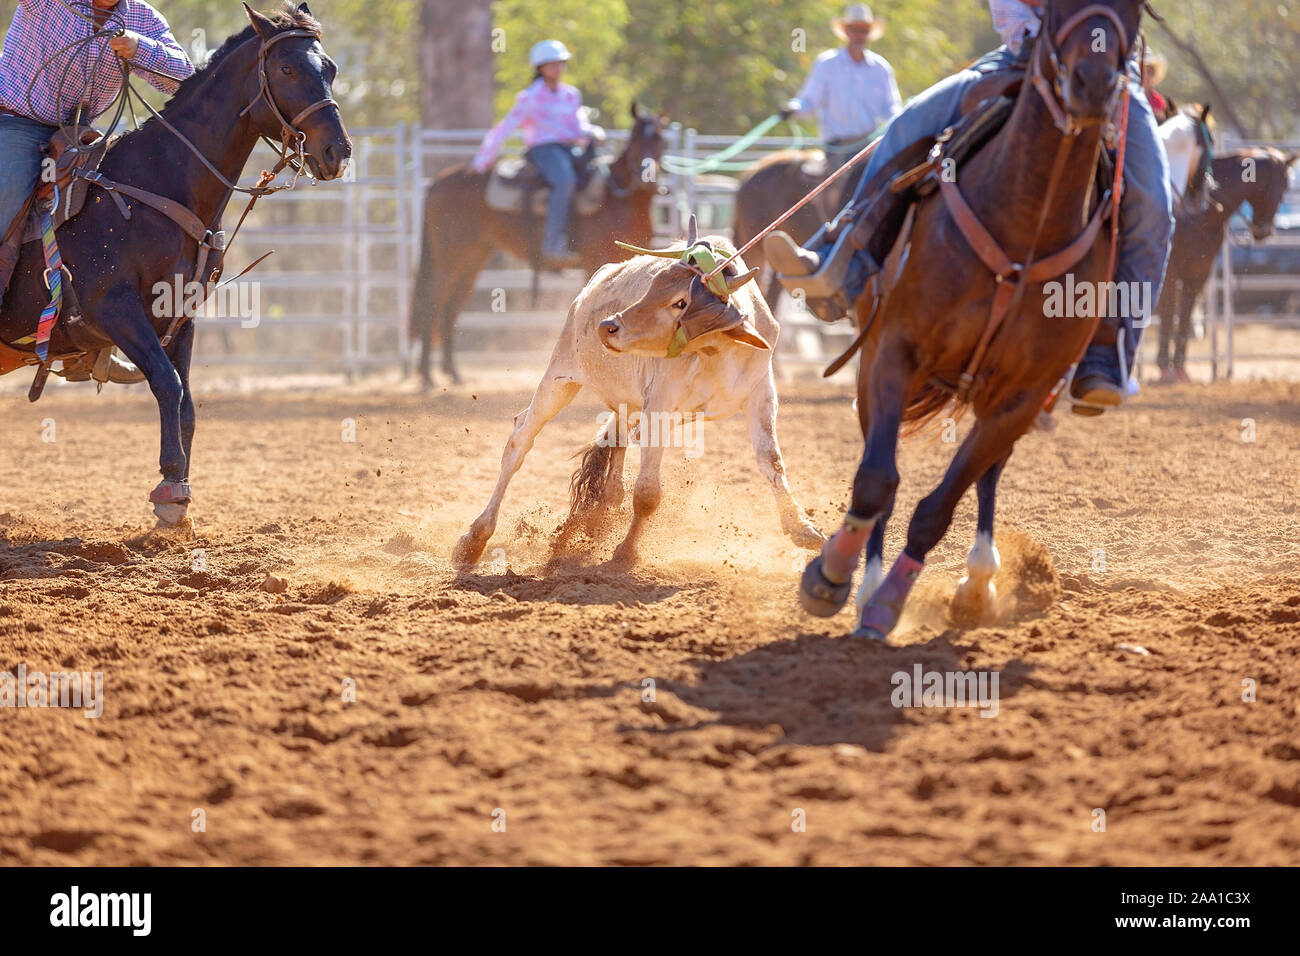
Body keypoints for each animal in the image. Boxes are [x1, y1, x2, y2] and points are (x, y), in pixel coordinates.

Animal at [451, 218, 824, 570]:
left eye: (681, 302)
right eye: (654, 284)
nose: (608, 326)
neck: (717, 353)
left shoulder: (761, 394)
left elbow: (771, 459)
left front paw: (802, 528)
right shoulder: (658, 406)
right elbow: (646, 492)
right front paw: (627, 551)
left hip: (628, 403)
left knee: (615, 442)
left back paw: (598, 514)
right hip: (559, 379)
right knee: (520, 440)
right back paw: (475, 538)